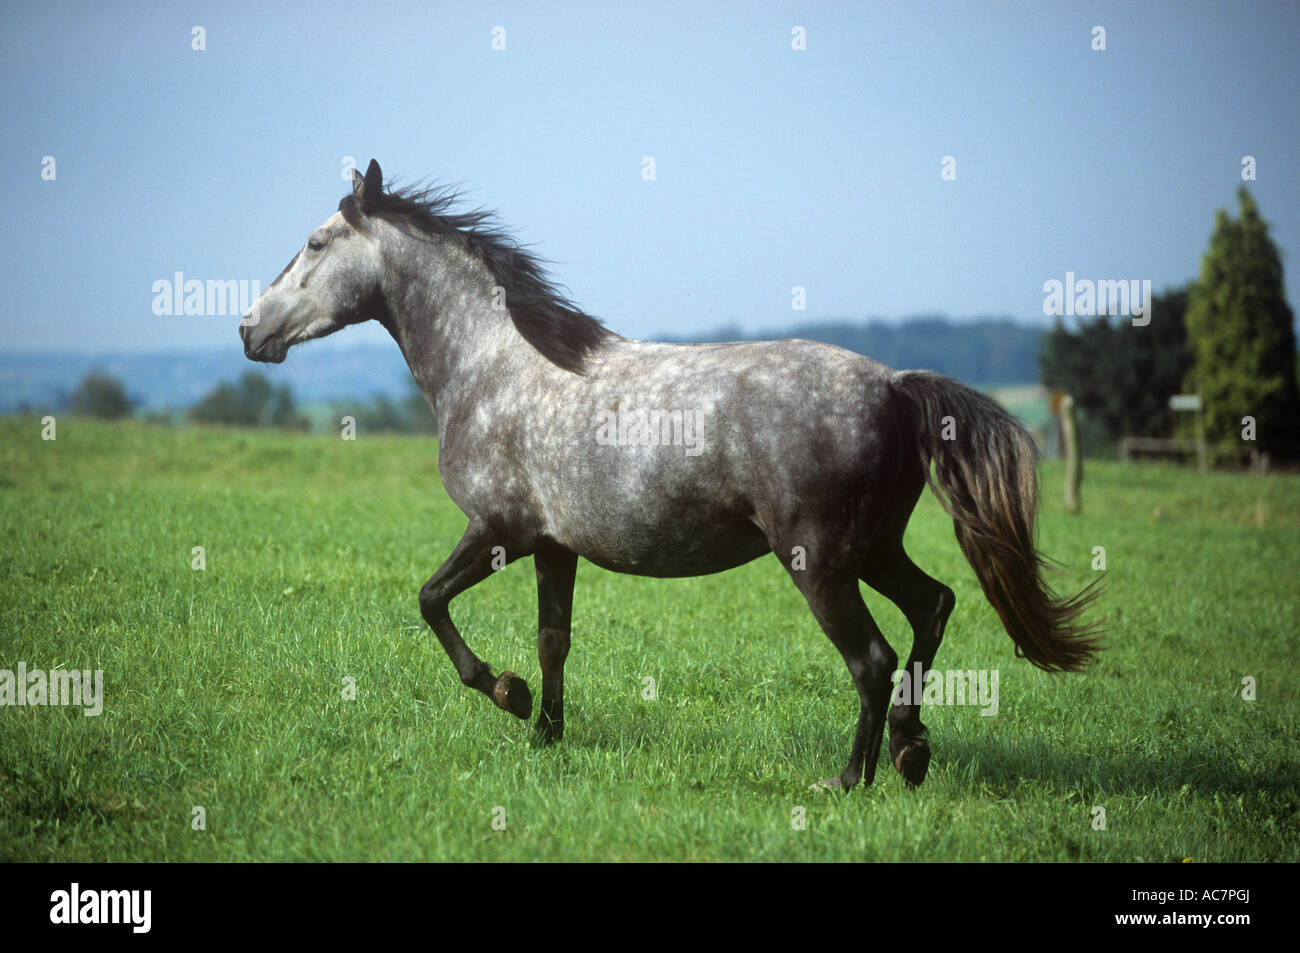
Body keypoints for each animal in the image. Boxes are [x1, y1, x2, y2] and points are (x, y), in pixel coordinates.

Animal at [241, 159, 1101, 791]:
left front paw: (507, 694)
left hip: (820, 563)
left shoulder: (498, 530)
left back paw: (848, 778)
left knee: (874, 659)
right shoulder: (552, 546)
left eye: (315, 243)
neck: (492, 367)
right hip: (875, 548)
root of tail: (893, 385)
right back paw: (911, 749)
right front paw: (545, 734)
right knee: (935, 606)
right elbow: (553, 639)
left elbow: (429, 601)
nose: (249, 328)